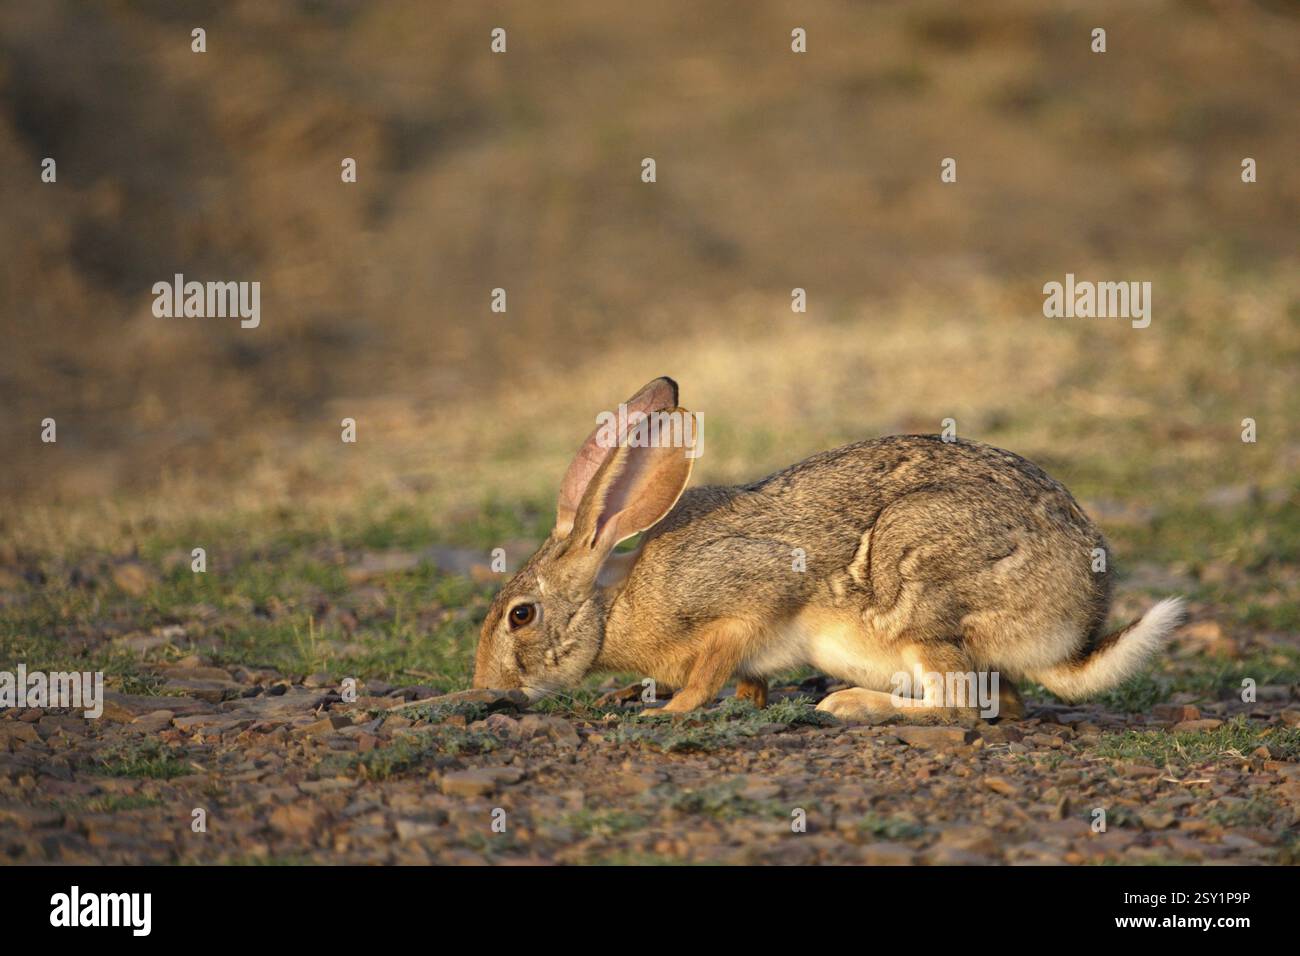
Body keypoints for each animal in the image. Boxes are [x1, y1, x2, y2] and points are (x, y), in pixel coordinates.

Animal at [473, 376, 1185, 720]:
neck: (613, 607)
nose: (487, 687)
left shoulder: (742, 601)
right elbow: (747, 680)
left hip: (918, 589)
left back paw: (849, 706)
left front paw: (670, 711)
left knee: (963, 707)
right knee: (1002, 704)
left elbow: (709, 671)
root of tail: (1076, 626)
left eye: (520, 616)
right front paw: (743, 704)